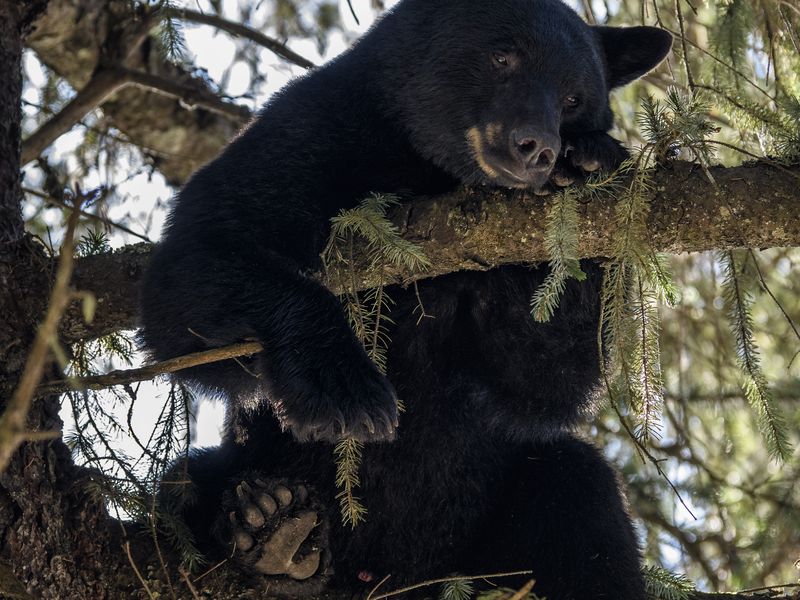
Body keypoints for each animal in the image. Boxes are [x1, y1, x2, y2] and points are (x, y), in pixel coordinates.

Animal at [138, 0, 672, 597]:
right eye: (502, 55)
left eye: (573, 97)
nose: (538, 147)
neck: (426, 171)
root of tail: (387, 576)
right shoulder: (310, 131)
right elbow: (196, 267)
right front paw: (344, 388)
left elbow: (540, 374)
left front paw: (590, 165)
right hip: (243, 462)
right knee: (180, 490)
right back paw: (269, 527)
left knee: (582, 496)